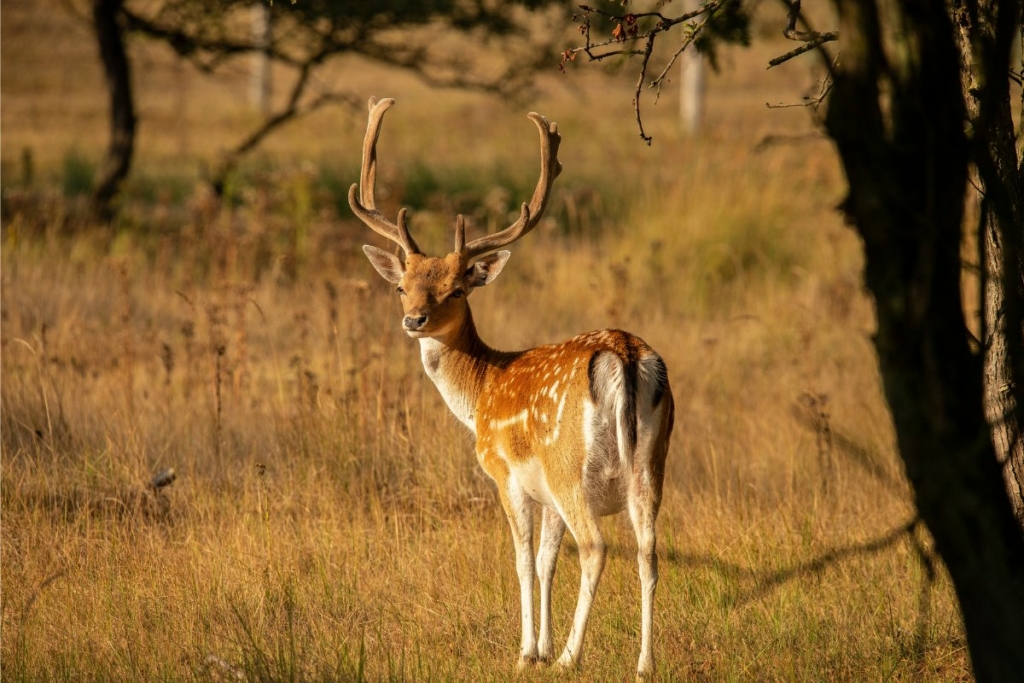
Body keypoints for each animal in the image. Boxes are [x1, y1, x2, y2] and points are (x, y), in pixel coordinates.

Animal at [349, 97, 674, 679]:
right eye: (401, 287)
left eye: (456, 289)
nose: (414, 320)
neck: (481, 389)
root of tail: (625, 355)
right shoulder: (545, 494)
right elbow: (546, 562)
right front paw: (539, 646)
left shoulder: (506, 473)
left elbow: (523, 560)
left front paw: (528, 652)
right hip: (650, 462)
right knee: (648, 549)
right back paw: (644, 663)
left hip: (569, 465)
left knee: (597, 547)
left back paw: (571, 656)